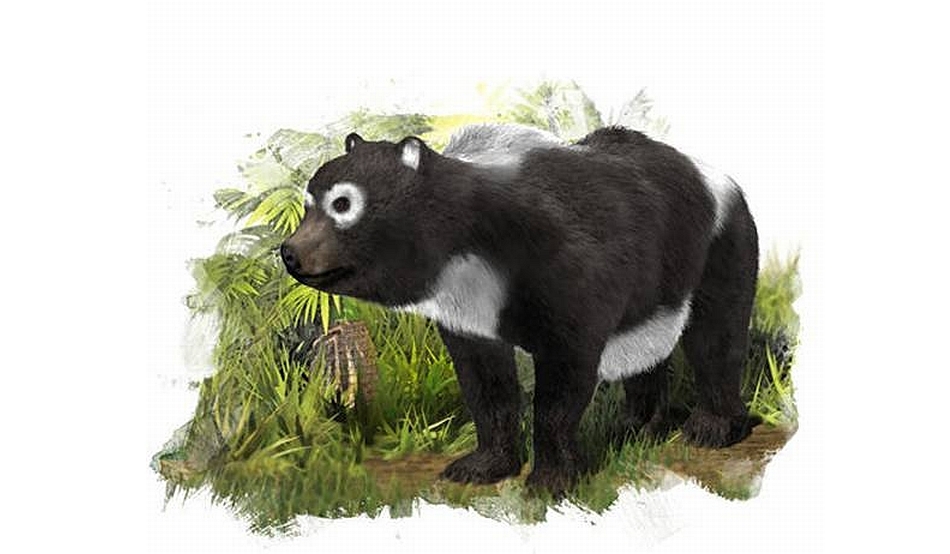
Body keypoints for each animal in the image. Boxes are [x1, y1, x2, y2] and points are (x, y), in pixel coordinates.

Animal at [280, 123, 759, 494]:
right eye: (307, 204)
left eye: (343, 204)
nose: (290, 253)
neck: (470, 238)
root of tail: (718, 176)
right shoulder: (470, 304)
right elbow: (485, 382)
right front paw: (481, 465)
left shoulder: (565, 268)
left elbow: (564, 375)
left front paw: (551, 479)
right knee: (646, 349)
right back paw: (636, 426)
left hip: (718, 244)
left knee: (716, 336)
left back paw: (712, 428)